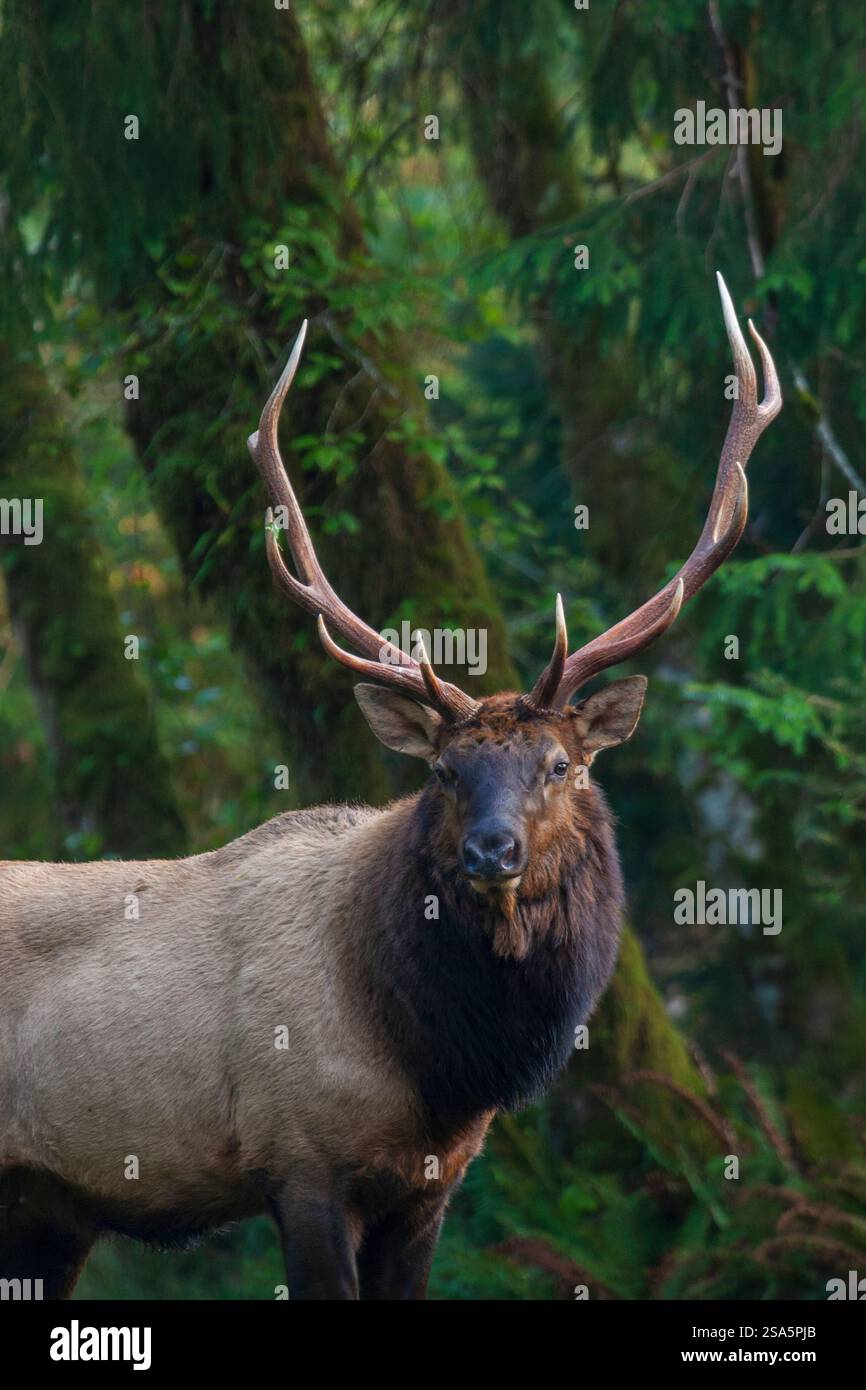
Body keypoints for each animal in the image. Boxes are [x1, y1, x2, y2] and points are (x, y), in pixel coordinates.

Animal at [0, 275, 780, 1300]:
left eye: (560, 765)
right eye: (445, 771)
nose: (492, 850)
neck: (435, 1066)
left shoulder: (431, 1186)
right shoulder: (299, 1160)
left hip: (47, 1211)